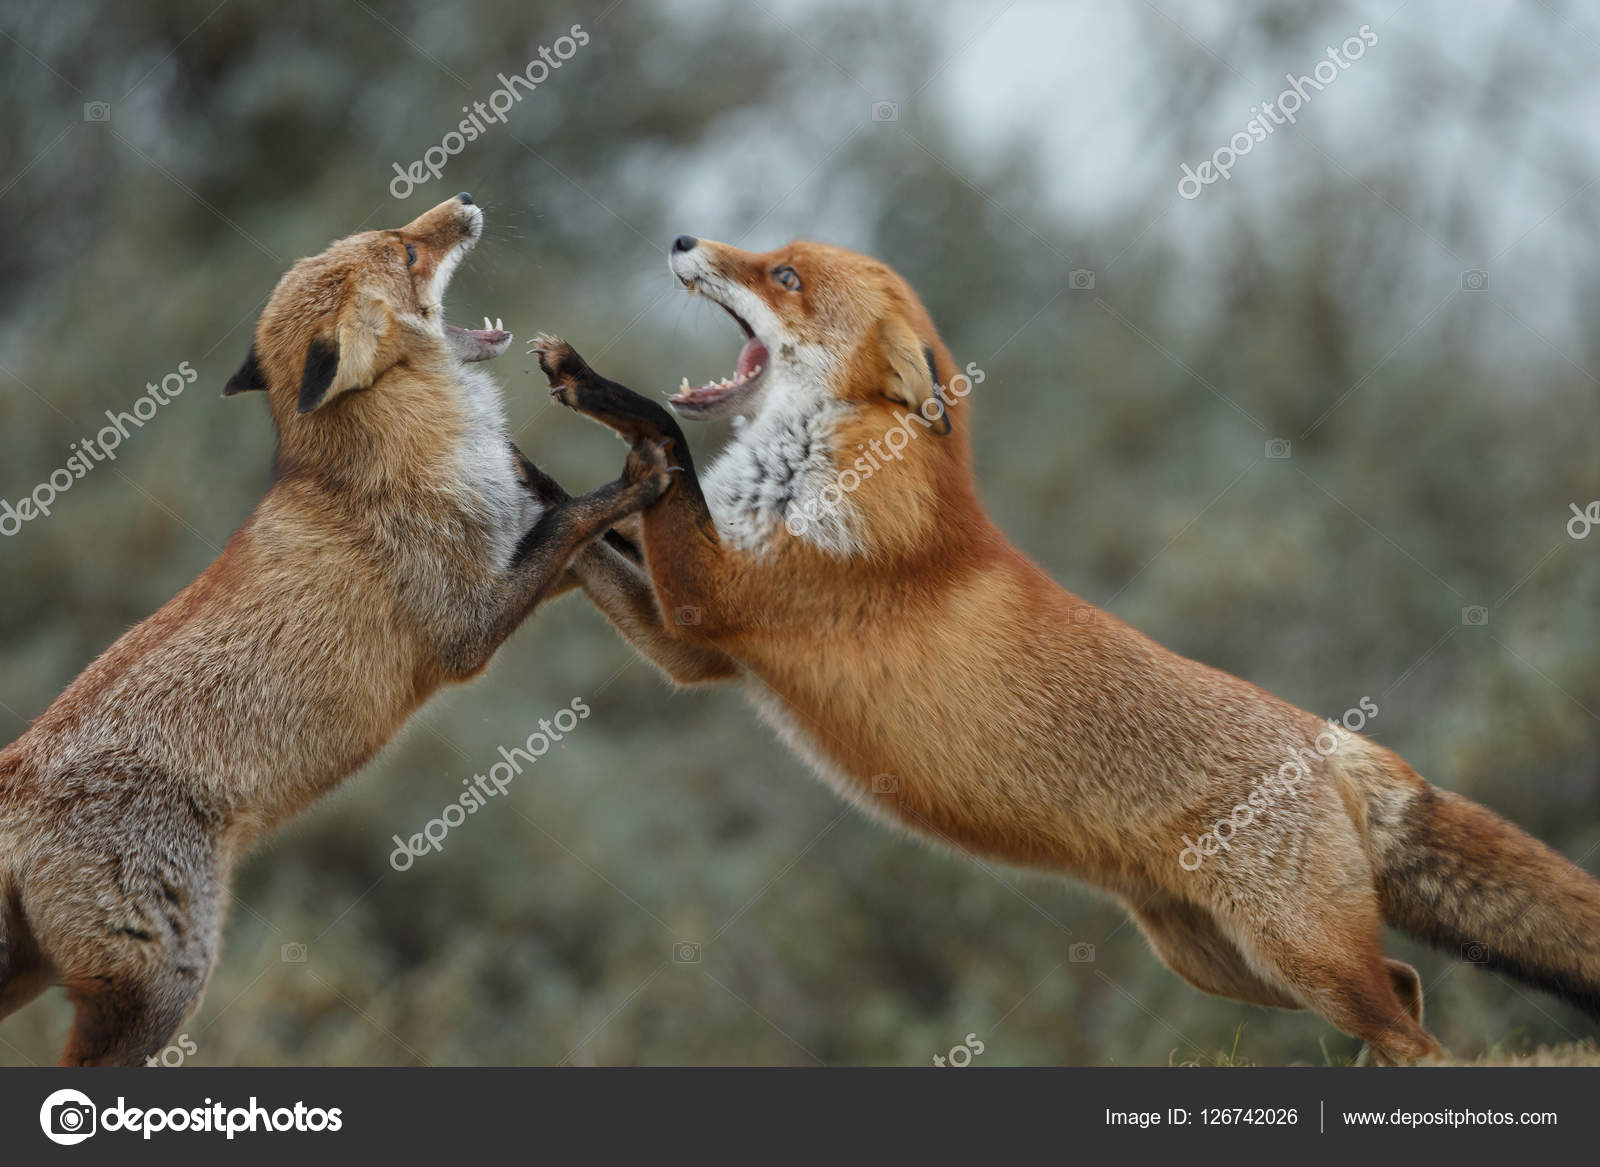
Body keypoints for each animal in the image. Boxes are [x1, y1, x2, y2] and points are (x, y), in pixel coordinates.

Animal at [0, 194, 672, 1066]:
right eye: (407, 252)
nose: (462, 201)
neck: (381, 449)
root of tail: (16, 780)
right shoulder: (469, 625)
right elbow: (573, 519)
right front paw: (639, 477)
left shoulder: (512, 558)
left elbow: (566, 524)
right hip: (164, 986)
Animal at [529, 234, 1600, 1064]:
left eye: (786, 274)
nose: (683, 239)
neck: (825, 468)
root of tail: (1335, 739)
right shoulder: (697, 649)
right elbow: (586, 530)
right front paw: (531, 494)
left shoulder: (714, 600)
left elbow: (664, 440)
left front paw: (593, 386)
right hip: (1221, 961)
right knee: (1410, 990)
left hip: (1297, 954)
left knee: (1417, 1032)